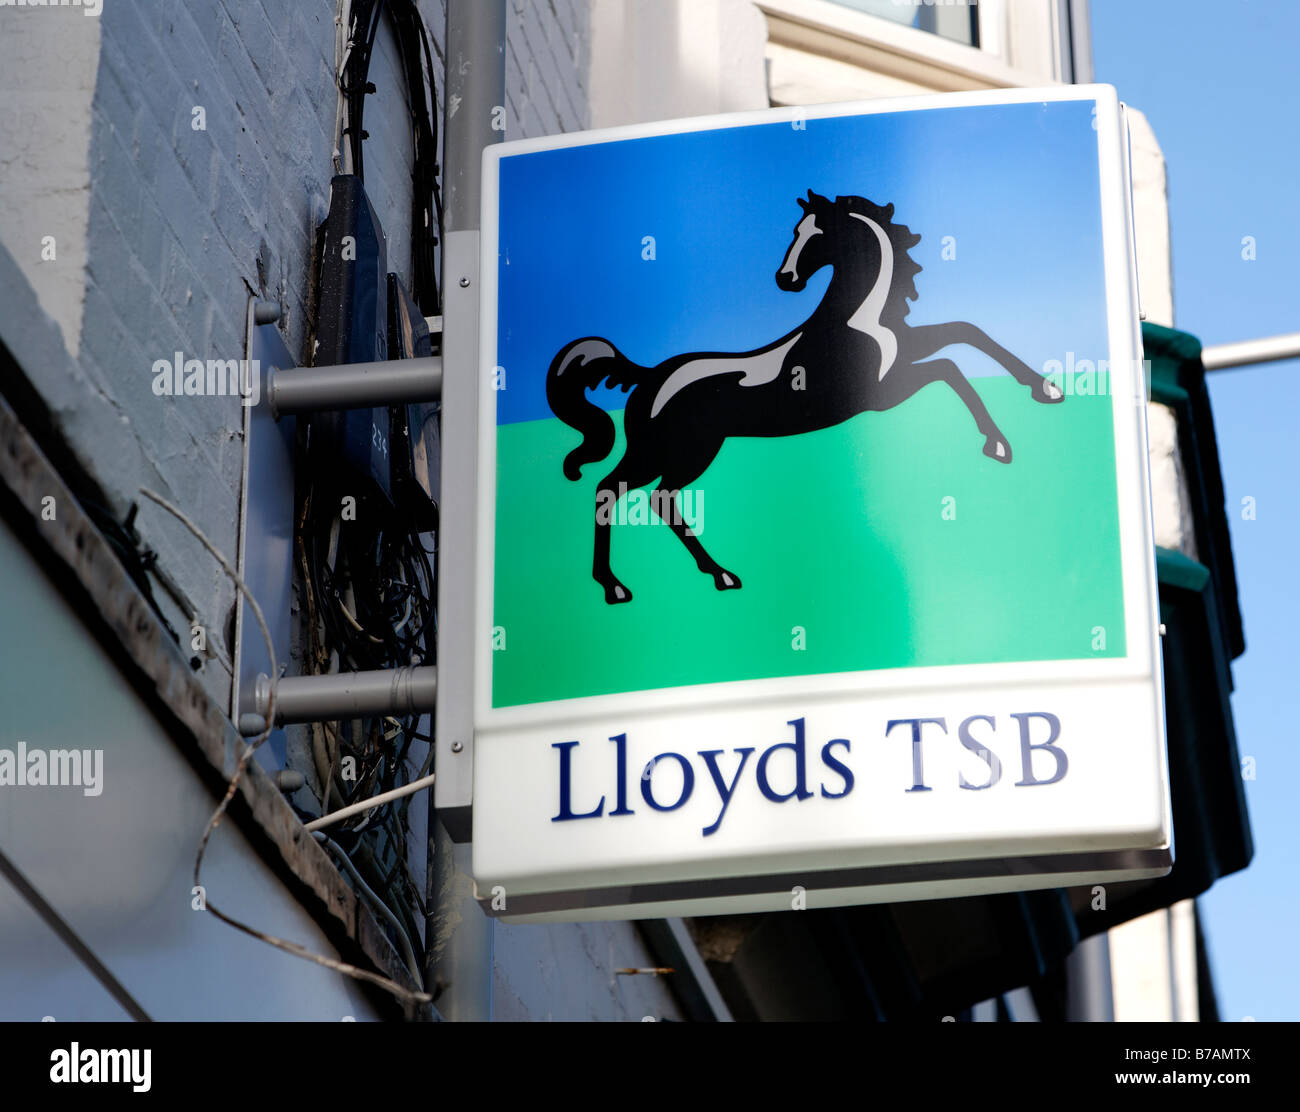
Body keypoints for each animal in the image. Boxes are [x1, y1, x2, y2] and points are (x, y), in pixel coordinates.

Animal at [543, 192, 1060, 608]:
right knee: (619, 492)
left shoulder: (905, 350)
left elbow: (964, 332)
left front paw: (1045, 390)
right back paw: (627, 586)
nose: (785, 278)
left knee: (647, 497)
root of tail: (648, 376)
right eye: (797, 231)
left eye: (816, 234)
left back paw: (708, 576)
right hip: (678, 450)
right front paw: (997, 443)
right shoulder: (883, 394)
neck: (855, 320)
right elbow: (949, 369)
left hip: (674, 452)